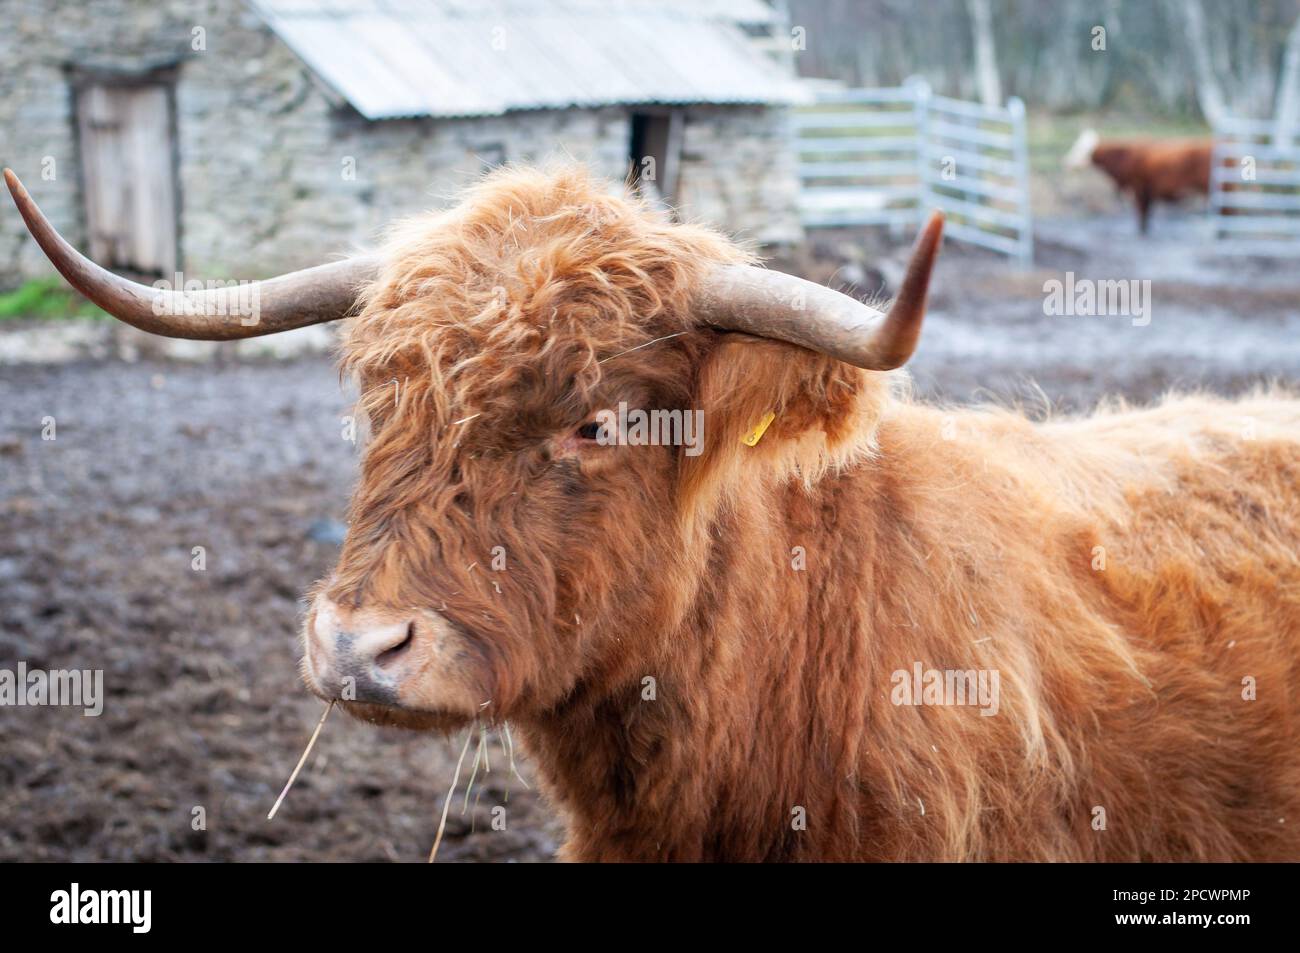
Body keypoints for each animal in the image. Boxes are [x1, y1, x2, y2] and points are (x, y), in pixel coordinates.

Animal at [1064, 128, 1213, 234]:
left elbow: (1142, 214)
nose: (1066, 162)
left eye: (1078, 148)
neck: (1124, 157)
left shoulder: (1138, 189)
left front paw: (1142, 232)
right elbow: (1145, 214)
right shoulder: (1146, 192)